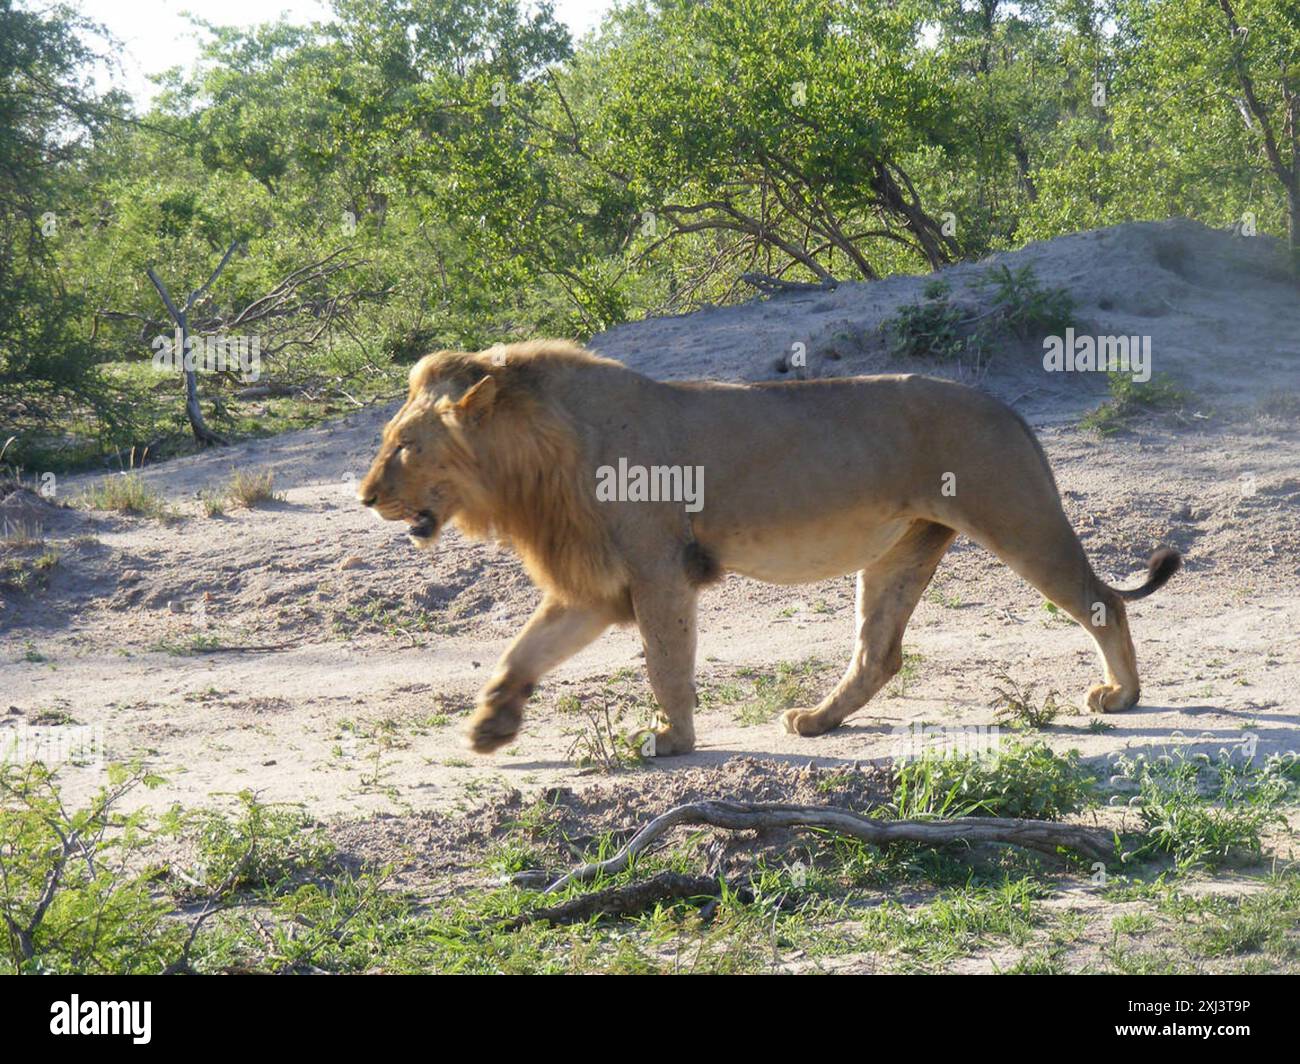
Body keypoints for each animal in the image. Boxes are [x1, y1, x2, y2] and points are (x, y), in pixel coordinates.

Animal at [358, 340, 1180, 756]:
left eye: (404, 447)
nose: (365, 497)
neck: (530, 465)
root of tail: (1009, 407)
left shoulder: (658, 570)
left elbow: (666, 665)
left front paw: (672, 740)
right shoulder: (596, 584)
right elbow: (523, 650)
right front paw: (491, 724)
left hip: (1017, 517)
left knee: (1102, 603)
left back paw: (1122, 695)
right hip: (900, 551)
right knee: (878, 655)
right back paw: (818, 721)